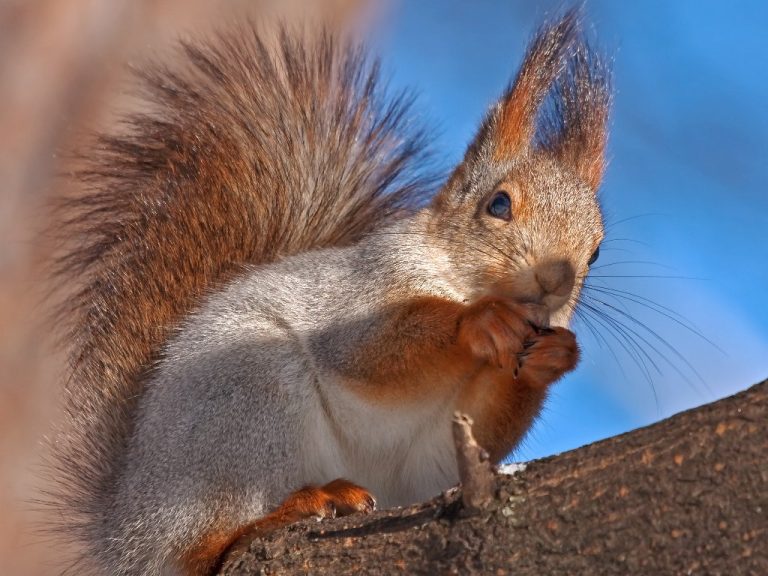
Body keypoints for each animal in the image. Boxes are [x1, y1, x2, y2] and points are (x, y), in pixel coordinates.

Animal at [47, 9, 611, 576]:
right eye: (498, 204)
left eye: (596, 251)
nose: (556, 280)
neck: (455, 279)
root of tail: (126, 532)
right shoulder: (360, 288)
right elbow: (369, 350)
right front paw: (480, 322)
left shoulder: (439, 442)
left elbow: (461, 443)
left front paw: (554, 357)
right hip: (243, 396)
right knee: (198, 548)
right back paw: (288, 509)